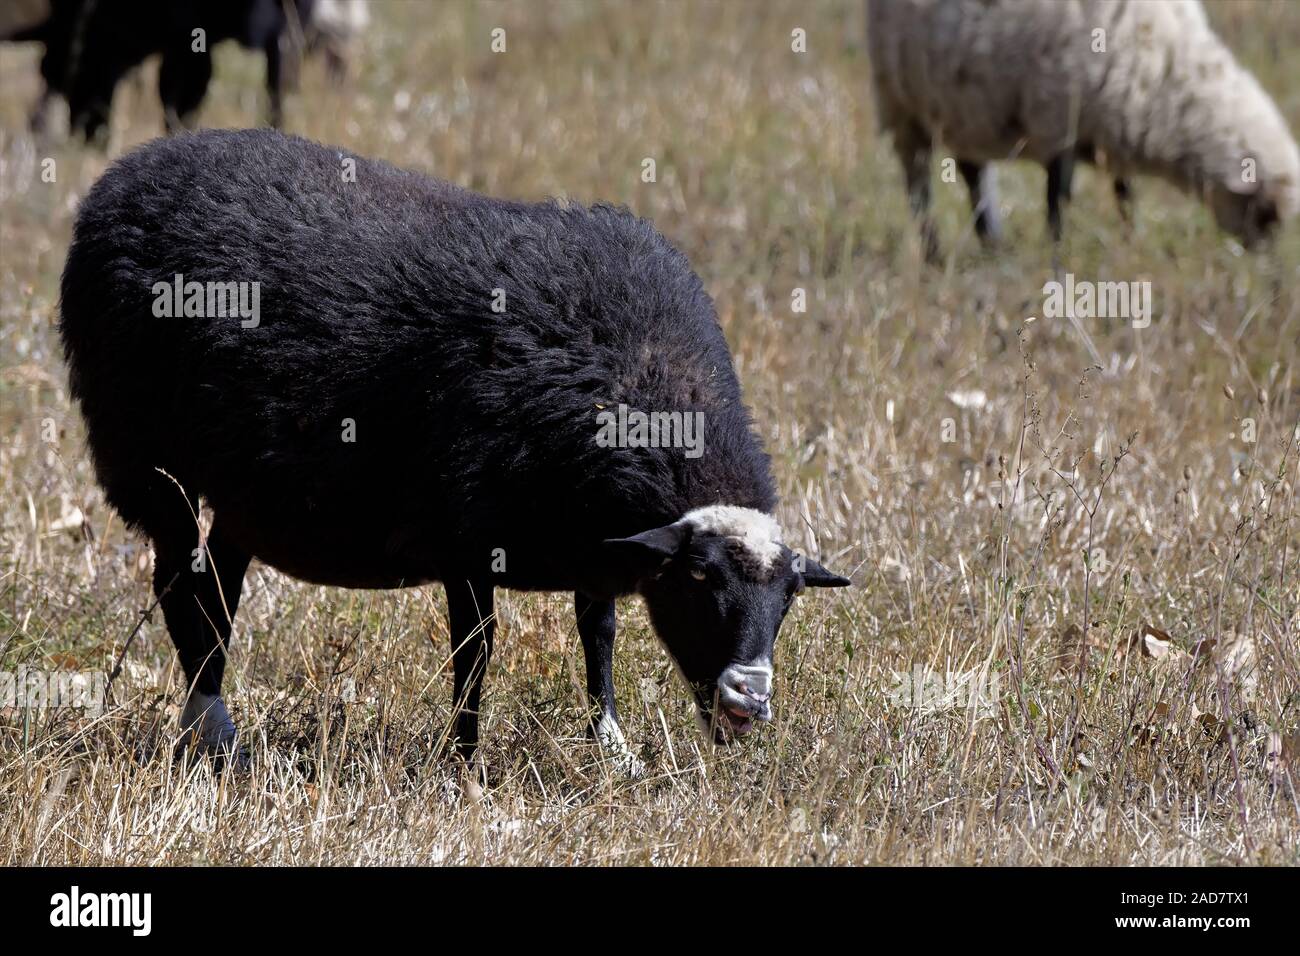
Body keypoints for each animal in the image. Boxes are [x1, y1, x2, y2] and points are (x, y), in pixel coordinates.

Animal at [59, 128, 850, 774]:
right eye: (699, 579)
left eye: (788, 600)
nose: (748, 703)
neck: (634, 375)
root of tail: (126, 173)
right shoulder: (468, 536)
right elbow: (476, 654)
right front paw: (463, 764)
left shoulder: (592, 540)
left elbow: (597, 634)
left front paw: (613, 748)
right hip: (143, 456)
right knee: (176, 584)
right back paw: (213, 731)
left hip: (239, 487)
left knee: (216, 587)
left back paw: (213, 724)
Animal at [865, 0, 1300, 253]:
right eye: (1266, 215)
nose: (1260, 261)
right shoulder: (1059, 122)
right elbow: (1058, 201)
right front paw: (1059, 254)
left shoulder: (1117, 133)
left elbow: (1125, 193)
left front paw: (1131, 240)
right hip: (901, 102)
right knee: (919, 187)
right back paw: (934, 254)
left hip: (965, 110)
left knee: (974, 175)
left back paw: (992, 245)